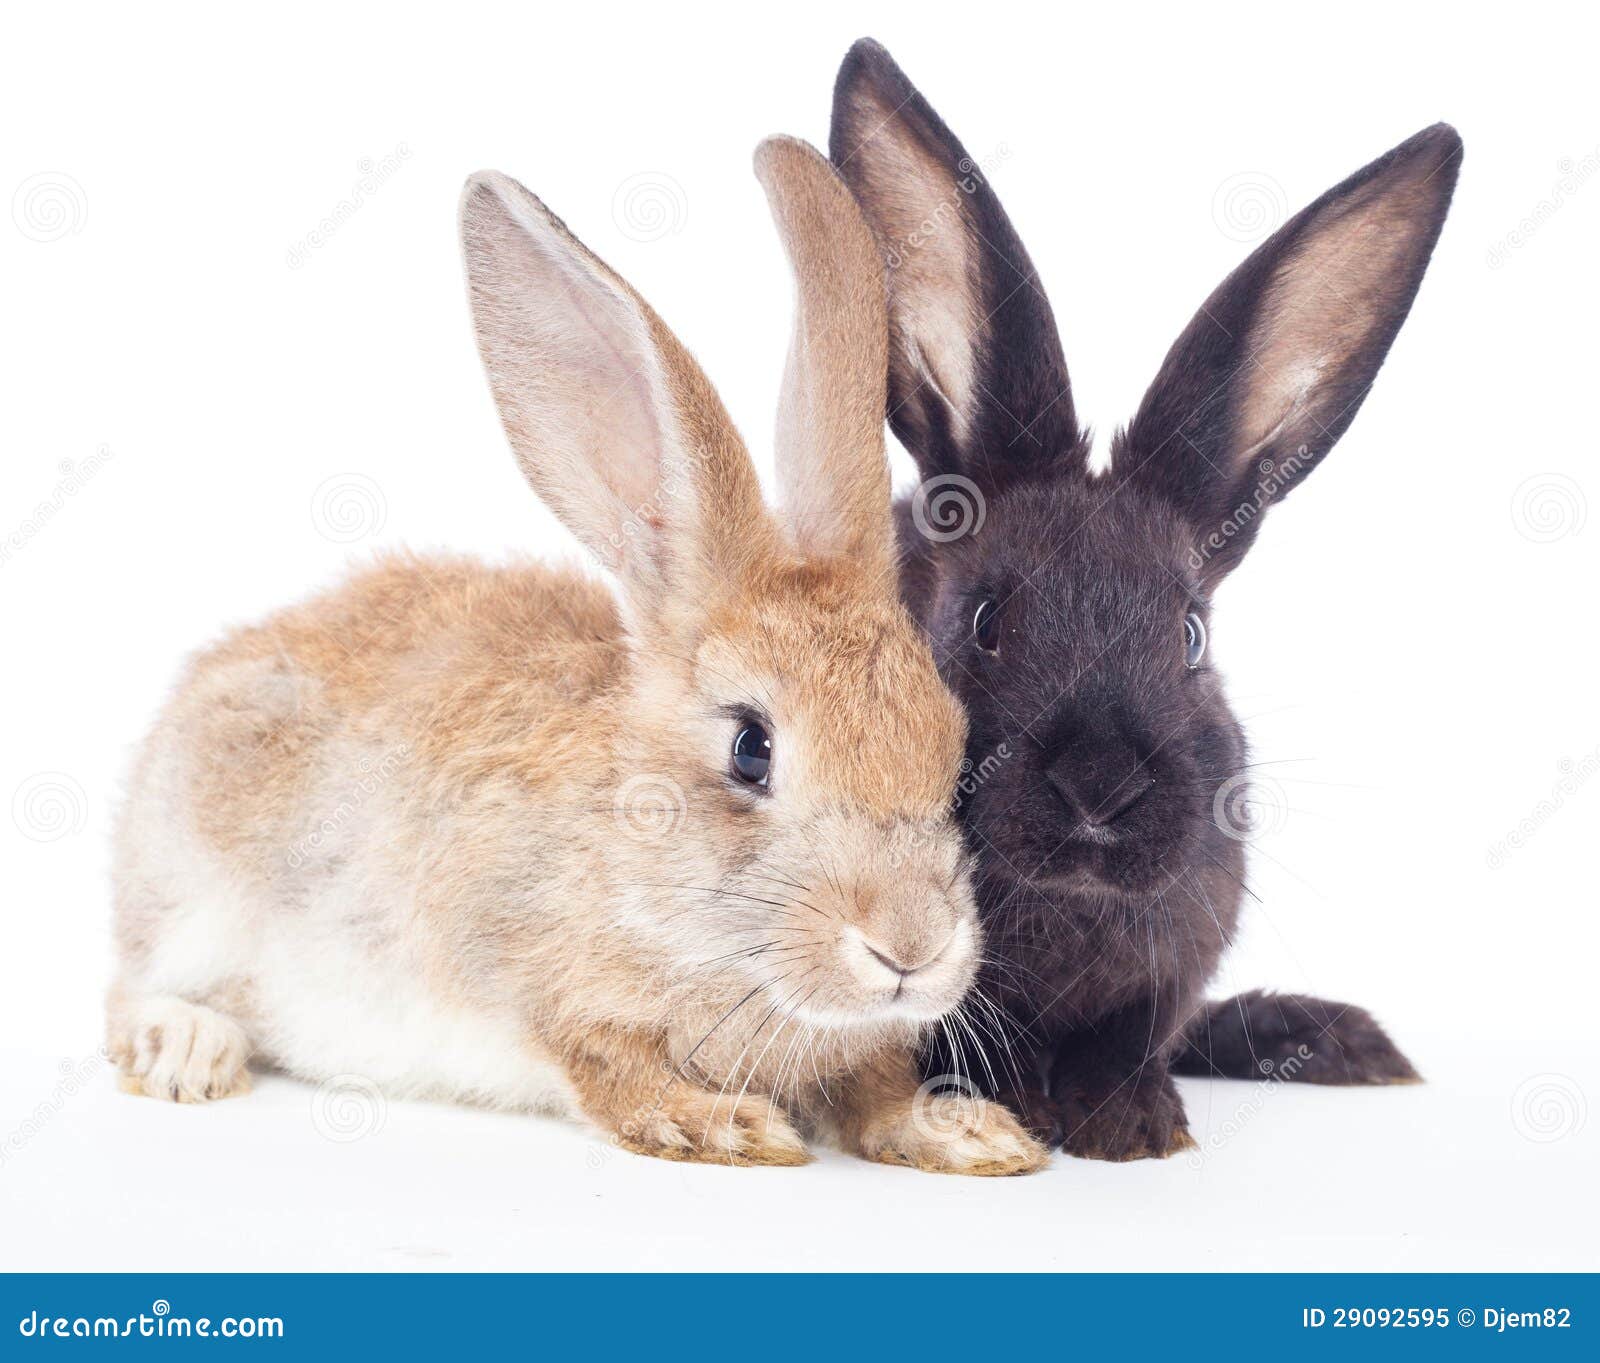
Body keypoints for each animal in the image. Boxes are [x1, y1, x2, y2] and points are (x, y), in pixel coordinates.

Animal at [104, 133, 1047, 1176]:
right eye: (751, 748)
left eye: (952, 748)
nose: (910, 946)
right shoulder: (534, 982)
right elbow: (606, 1065)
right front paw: (726, 1124)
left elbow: (876, 1089)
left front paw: (968, 1133)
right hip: (190, 895)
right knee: (130, 991)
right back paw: (191, 1049)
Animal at [829, 39, 1460, 1160]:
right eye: (985, 621)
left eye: (1191, 633)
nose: (1098, 786)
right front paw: (1006, 1109)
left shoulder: (1178, 956)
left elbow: (1134, 1033)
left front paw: (1130, 1125)